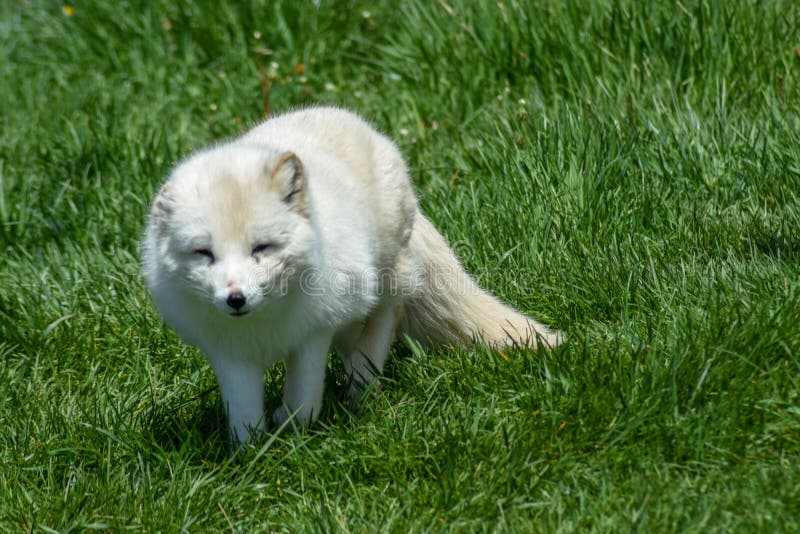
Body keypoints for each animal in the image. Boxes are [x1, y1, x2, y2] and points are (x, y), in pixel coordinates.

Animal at [142, 106, 563, 446]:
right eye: (204, 254)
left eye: (261, 247)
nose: (235, 299)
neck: (264, 324)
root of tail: (357, 123)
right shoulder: (230, 355)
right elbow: (244, 424)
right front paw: (253, 461)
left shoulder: (312, 335)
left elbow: (303, 404)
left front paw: (292, 433)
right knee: (353, 340)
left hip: (383, 280)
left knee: (385, 321)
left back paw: (361, 387)